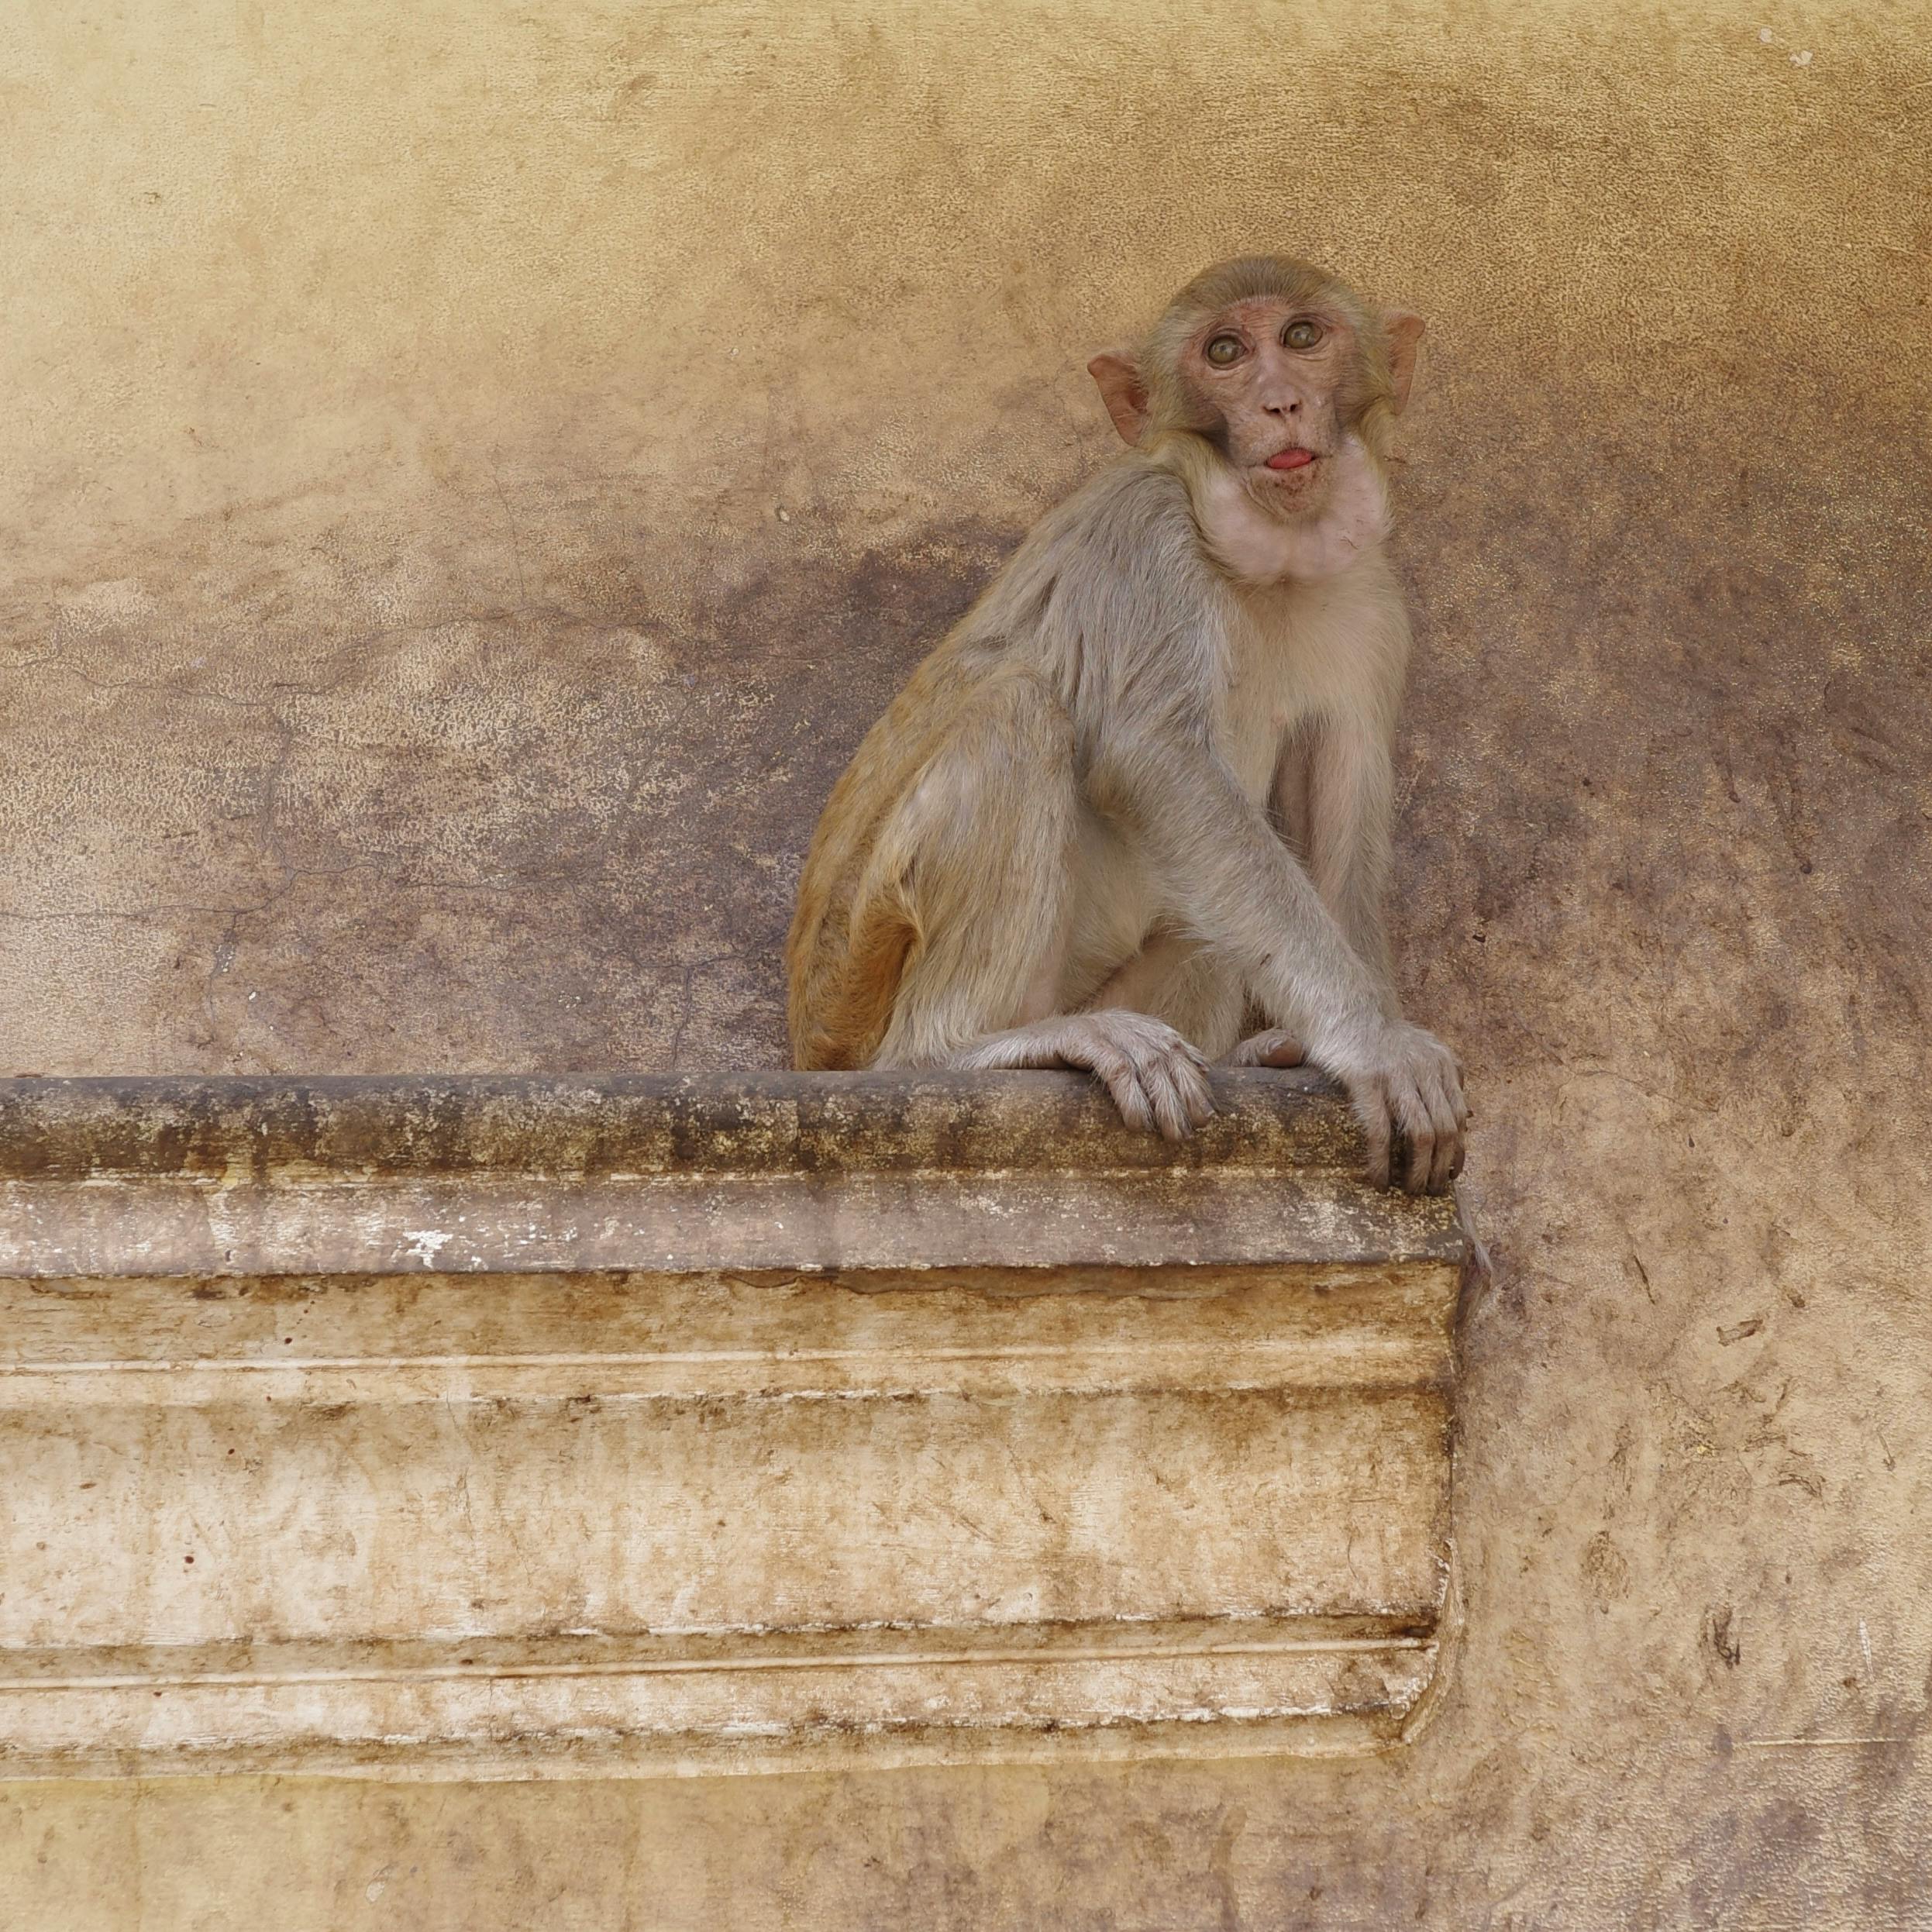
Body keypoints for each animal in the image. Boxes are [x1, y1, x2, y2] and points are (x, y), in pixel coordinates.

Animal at [786, 255, 1467, 1194]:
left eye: (1301, 337)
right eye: (1225, 352)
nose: (1279, 403)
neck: (1269, 571)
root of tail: (807, 1044)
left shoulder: (1371, 606)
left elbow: (1336, 813)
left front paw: (1351, 1036)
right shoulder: (1144, 531)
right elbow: (1156, 758)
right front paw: (1376, 1044)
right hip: (862, 963)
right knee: (1020, 714)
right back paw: (963, 1050)